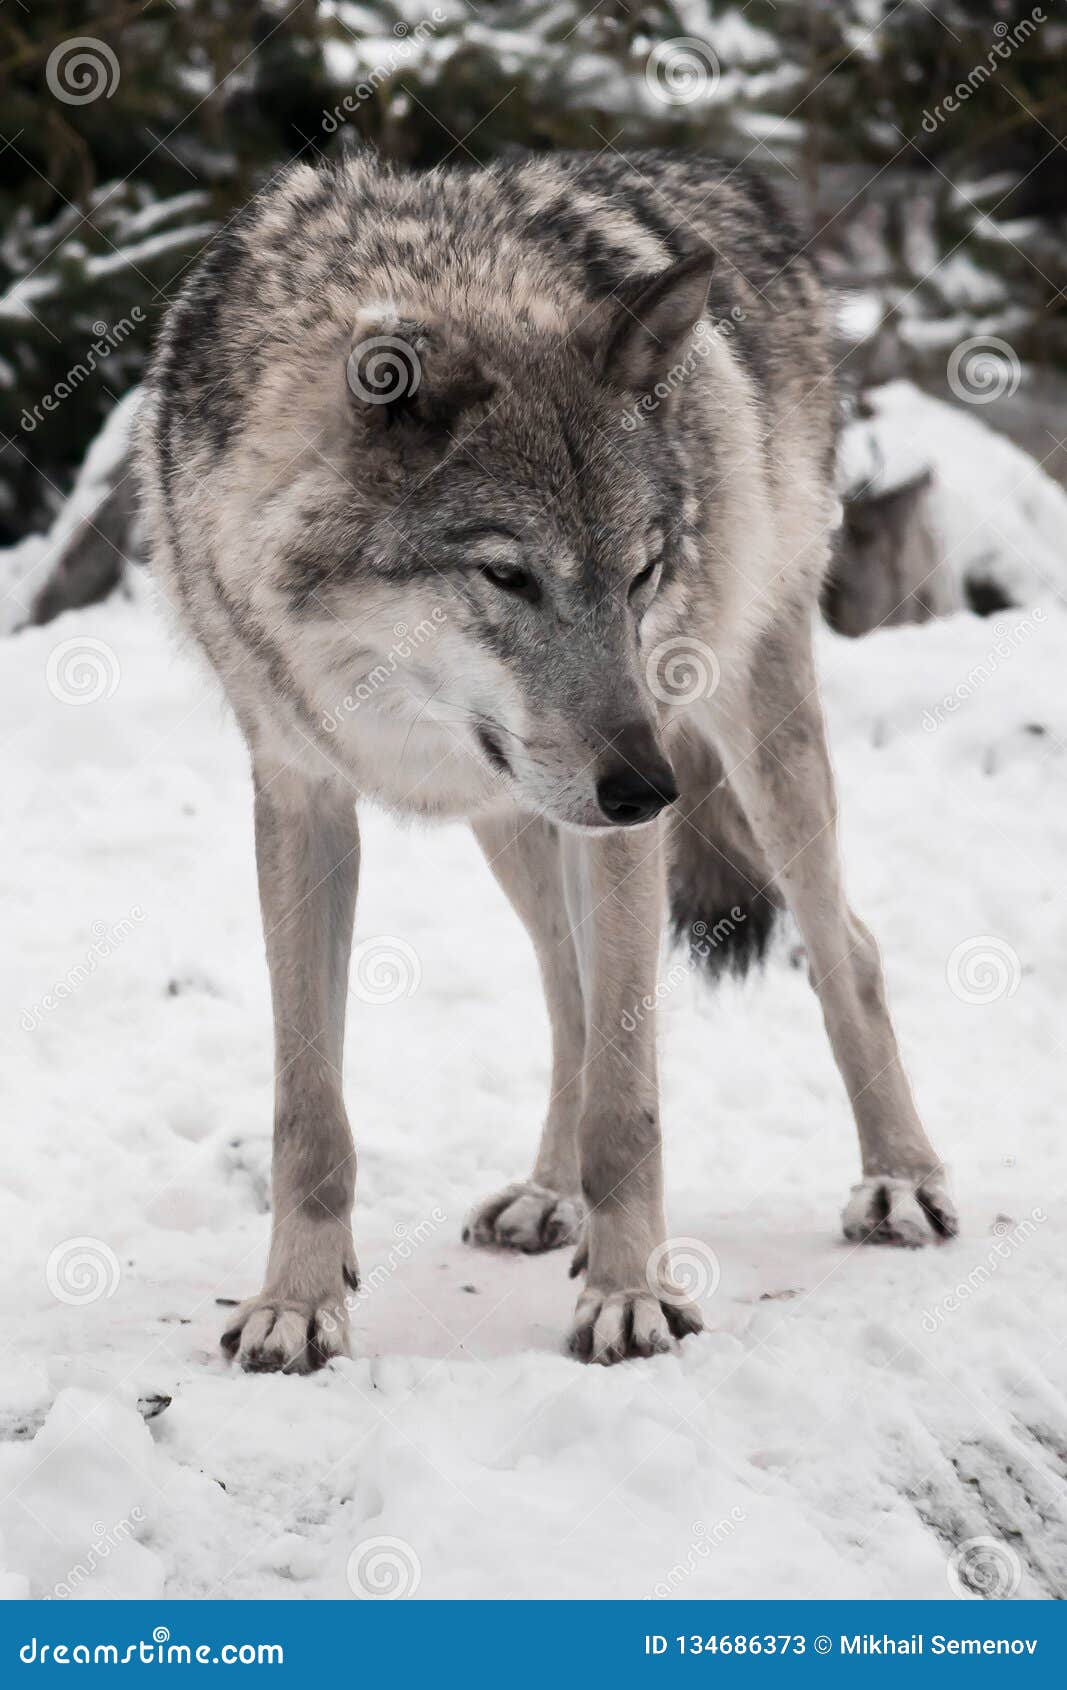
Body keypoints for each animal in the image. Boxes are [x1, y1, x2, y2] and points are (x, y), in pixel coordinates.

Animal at [138, 146, 956, 1373]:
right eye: (507, 575)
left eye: (641, 573)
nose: (650, 786)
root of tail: (727, 184)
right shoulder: (299, 794)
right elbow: (306, 1111)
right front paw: (294, 1304)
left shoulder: (624, 822)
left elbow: (630, 1103)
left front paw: (630, 1296)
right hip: (524, 817)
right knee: (567, 992)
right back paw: (547, 1194)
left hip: (748, 732)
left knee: (841, 949)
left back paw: (898, 1179)